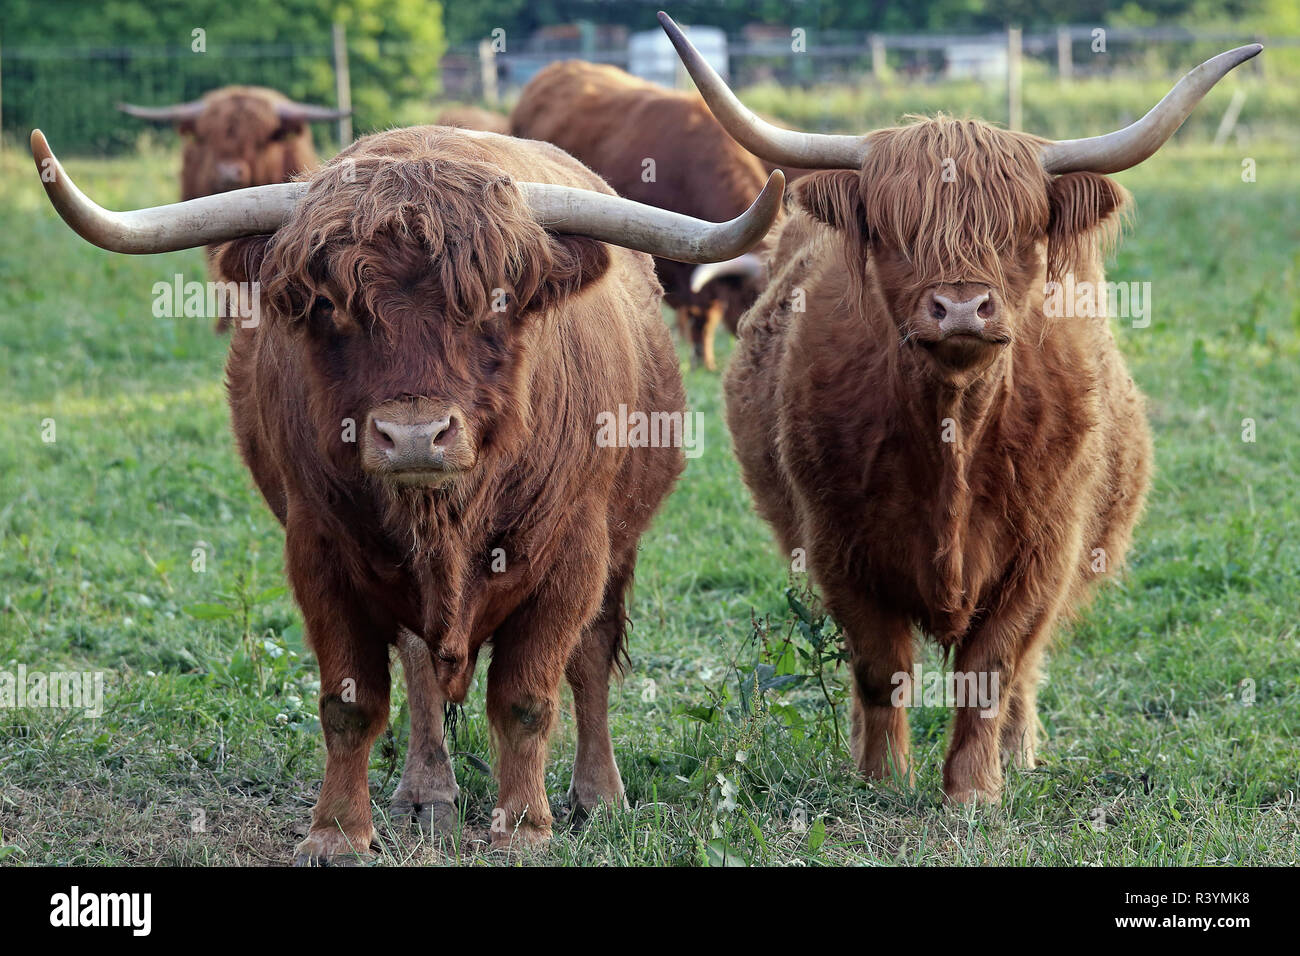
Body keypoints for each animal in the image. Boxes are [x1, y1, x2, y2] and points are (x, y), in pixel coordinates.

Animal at [31, 125, 782, 863]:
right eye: (329, 305)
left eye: (496, 300)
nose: (415, 436)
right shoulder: (317, 552)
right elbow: (350, 703)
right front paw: (336, 831)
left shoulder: (576, 551)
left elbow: (529, 696)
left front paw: (524, 827)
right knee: (421, 667)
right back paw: (427, 795)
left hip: (618, 544)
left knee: (590, 660)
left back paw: (598, 796)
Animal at [660, 13, 1259, 805]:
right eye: (894, 230)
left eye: (1019, 231)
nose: (962, 308)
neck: (956, 425)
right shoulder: (837, 545)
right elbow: (880, 667)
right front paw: (884, 779)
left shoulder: (1046, 552)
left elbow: (993, 666)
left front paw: (975, 789)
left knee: (1028, 671)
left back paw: (1020, 752)